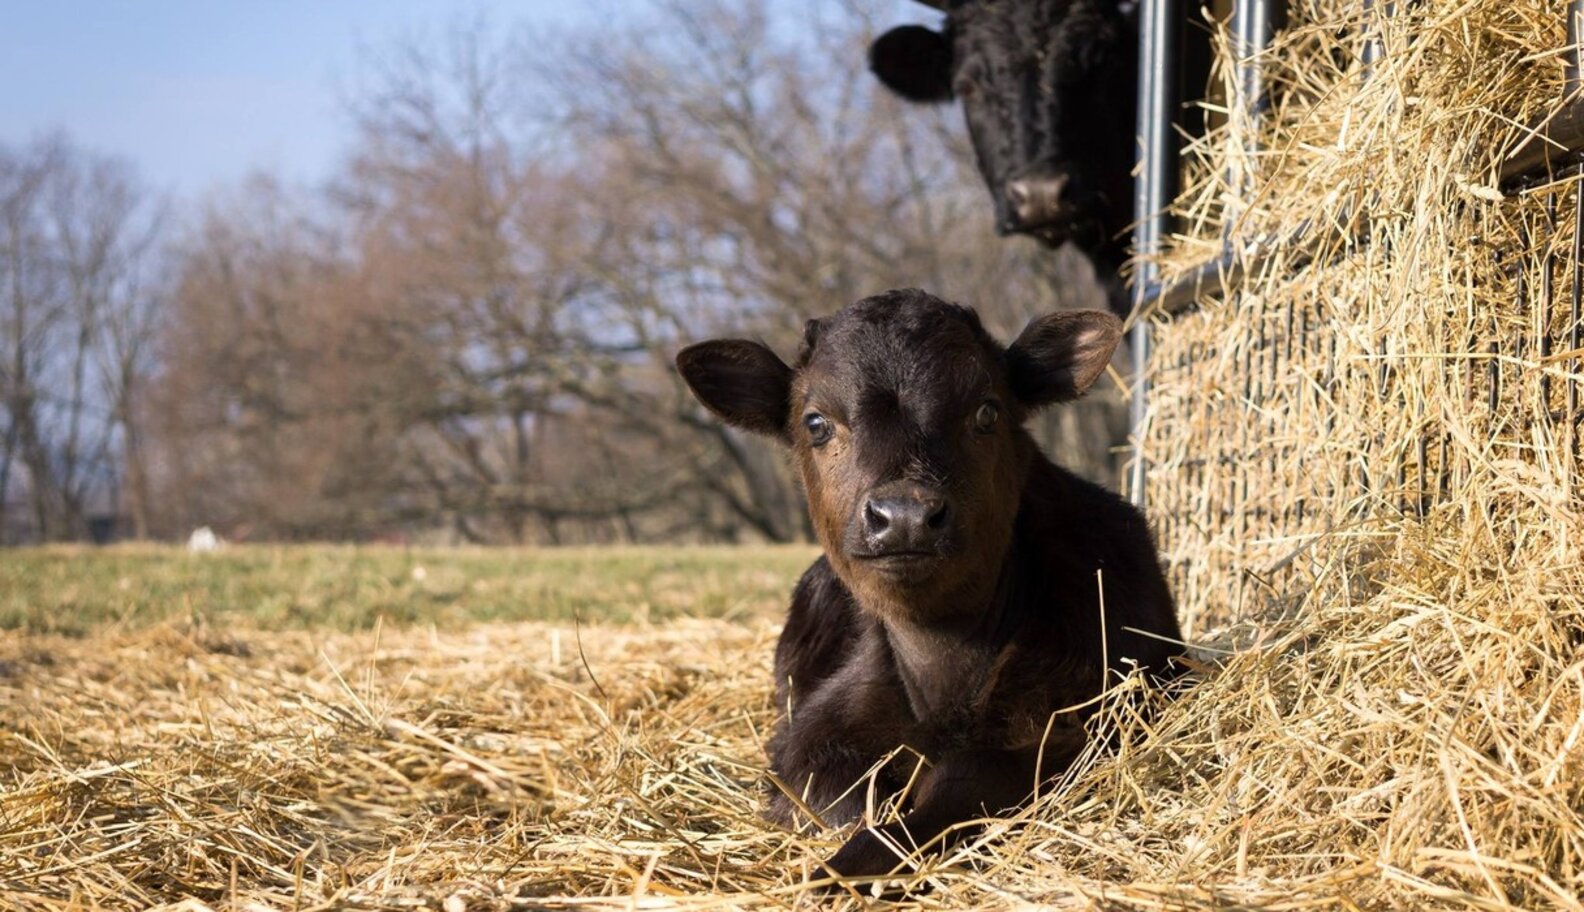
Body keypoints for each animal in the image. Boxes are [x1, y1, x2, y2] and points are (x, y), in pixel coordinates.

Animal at [676, 288, 1181, 883]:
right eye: (816, 422)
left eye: (986, 411)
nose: (905, 516)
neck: (944, 667)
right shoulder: (813, 737)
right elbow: (835, 795)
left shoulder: (1084, 717)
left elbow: (968, 779)